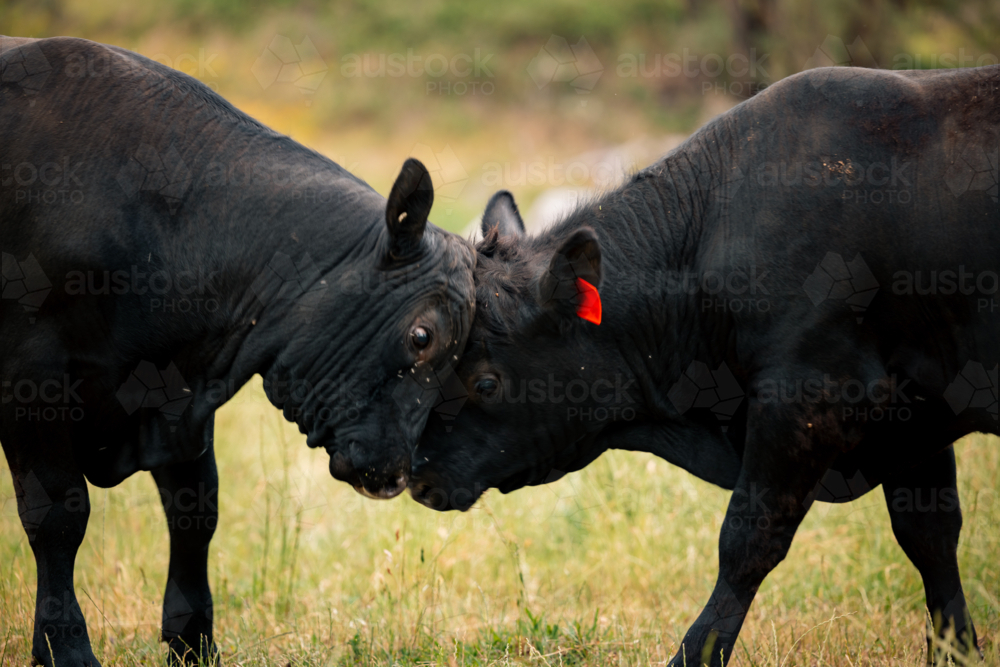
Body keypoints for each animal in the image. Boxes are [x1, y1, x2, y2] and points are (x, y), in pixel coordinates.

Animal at [1, 36, 475, 666]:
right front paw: (66, 650)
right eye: (423, 336)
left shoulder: (178, 395)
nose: (396, 474)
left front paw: (194, 642)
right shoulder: (30, 375)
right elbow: (58, 514)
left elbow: (196, 509)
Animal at [409, 64, 999, 666]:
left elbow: (748, 541)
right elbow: (930, 536)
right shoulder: (912, 414)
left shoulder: (810, 397)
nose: (419, 471)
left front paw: (692, 654)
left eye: (484, 380)